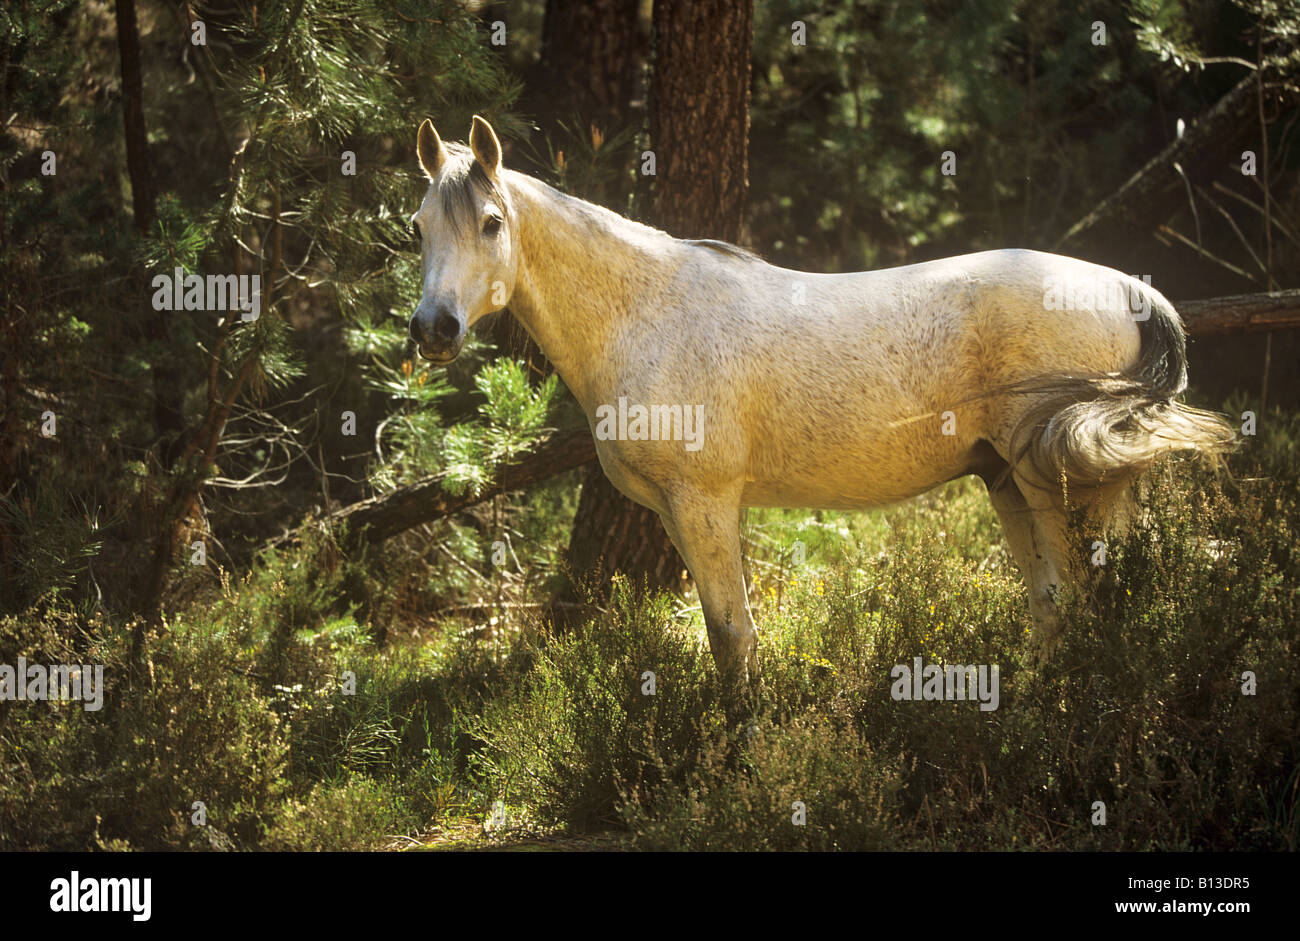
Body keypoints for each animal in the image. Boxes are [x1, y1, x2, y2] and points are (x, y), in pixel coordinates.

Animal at [407, 115, 1235, 684]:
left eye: (491, 223)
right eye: (418, 228)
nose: (433, 329)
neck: (647, 312)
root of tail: (1127, 288)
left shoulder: (705, 502)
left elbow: (732, 636)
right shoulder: (678, 512)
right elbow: (724, 634)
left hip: (1054, 485)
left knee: (1092, 600)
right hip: (1013, 481)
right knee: (1060, 605)